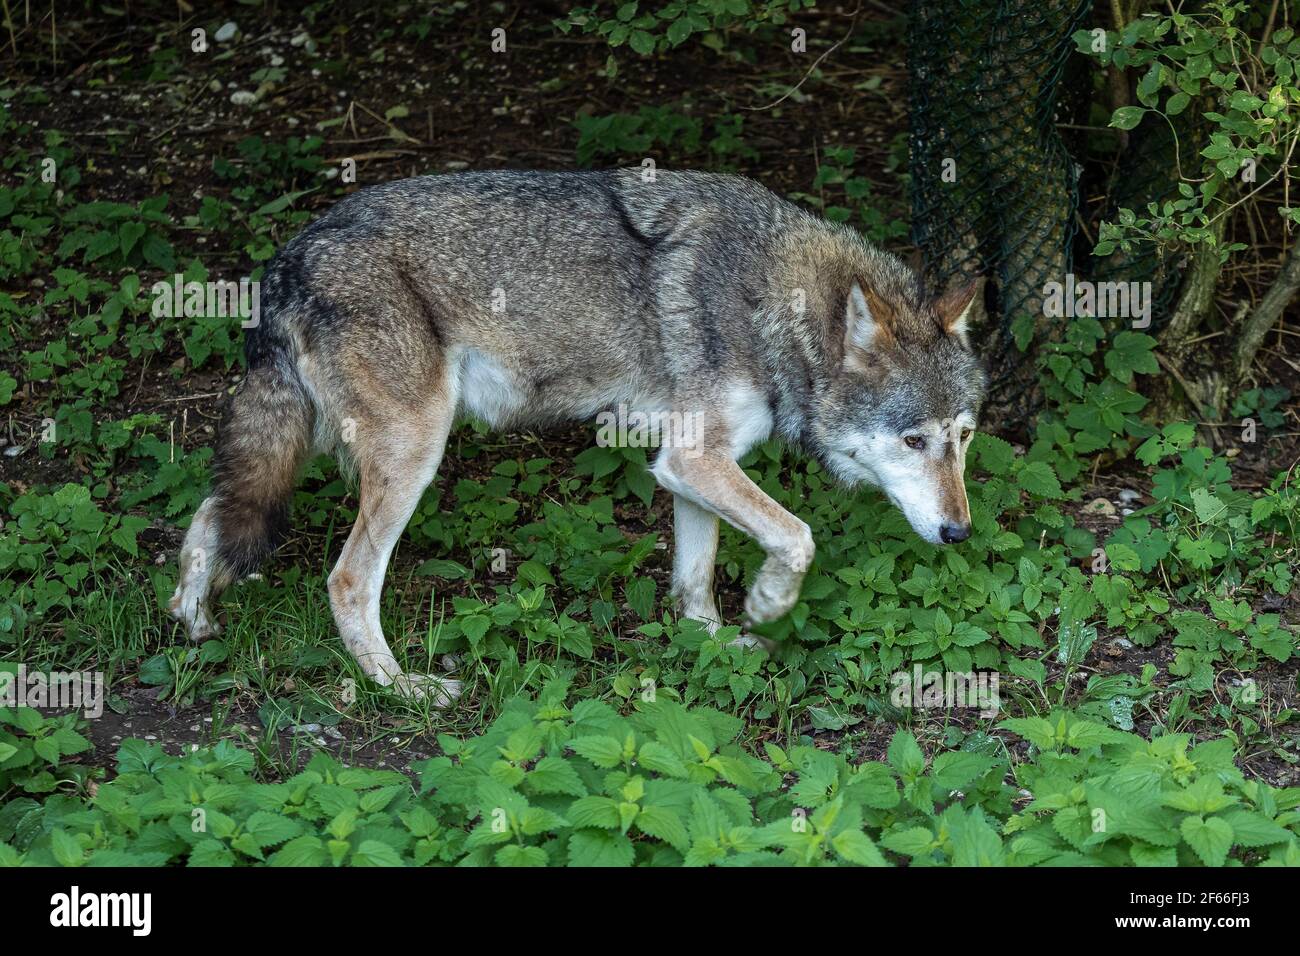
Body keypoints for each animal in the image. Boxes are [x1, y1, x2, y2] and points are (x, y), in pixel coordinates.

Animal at [169, 169, 987, 706]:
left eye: (965, 437)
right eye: (913, 442)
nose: (959, 533)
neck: (773, 304)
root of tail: (288, 258)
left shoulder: (687, 466)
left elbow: (695, 578)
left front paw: (714, 642)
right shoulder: (696, 458)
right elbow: (798, 536)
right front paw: (766, 604)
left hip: (309, 441)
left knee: (213, 513)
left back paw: (194, 622)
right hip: (412, 453)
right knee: (345, 580)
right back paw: (405, 688)